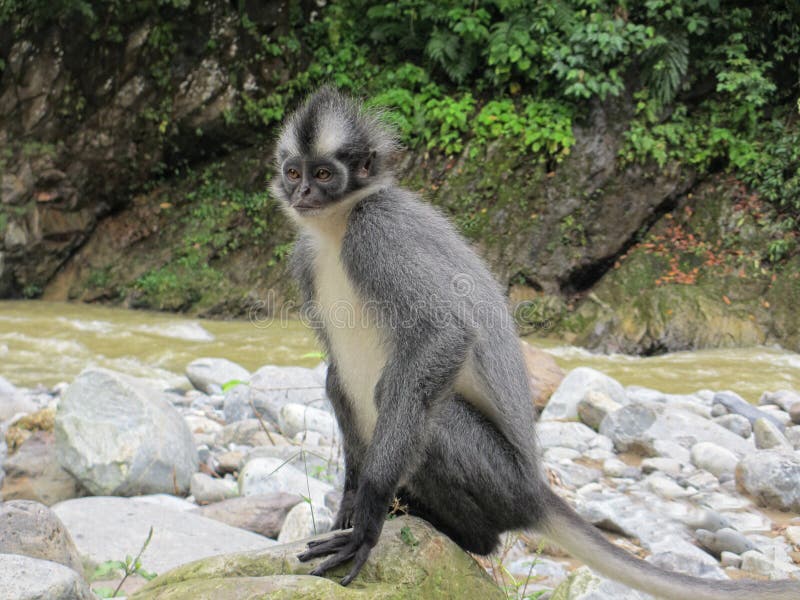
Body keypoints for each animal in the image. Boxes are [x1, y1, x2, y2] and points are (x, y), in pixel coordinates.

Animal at [269, 86, 800, 599]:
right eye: (294, 172)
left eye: (323, 173)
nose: (301, 191)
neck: (338, 227)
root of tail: (535, 492)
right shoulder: (305, 257)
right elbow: (336, 373)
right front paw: (351, 501)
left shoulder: (377, 231)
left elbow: (445, 333)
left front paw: (369, 514)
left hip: (500, 484)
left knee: (423, 412)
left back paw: (461, 532)